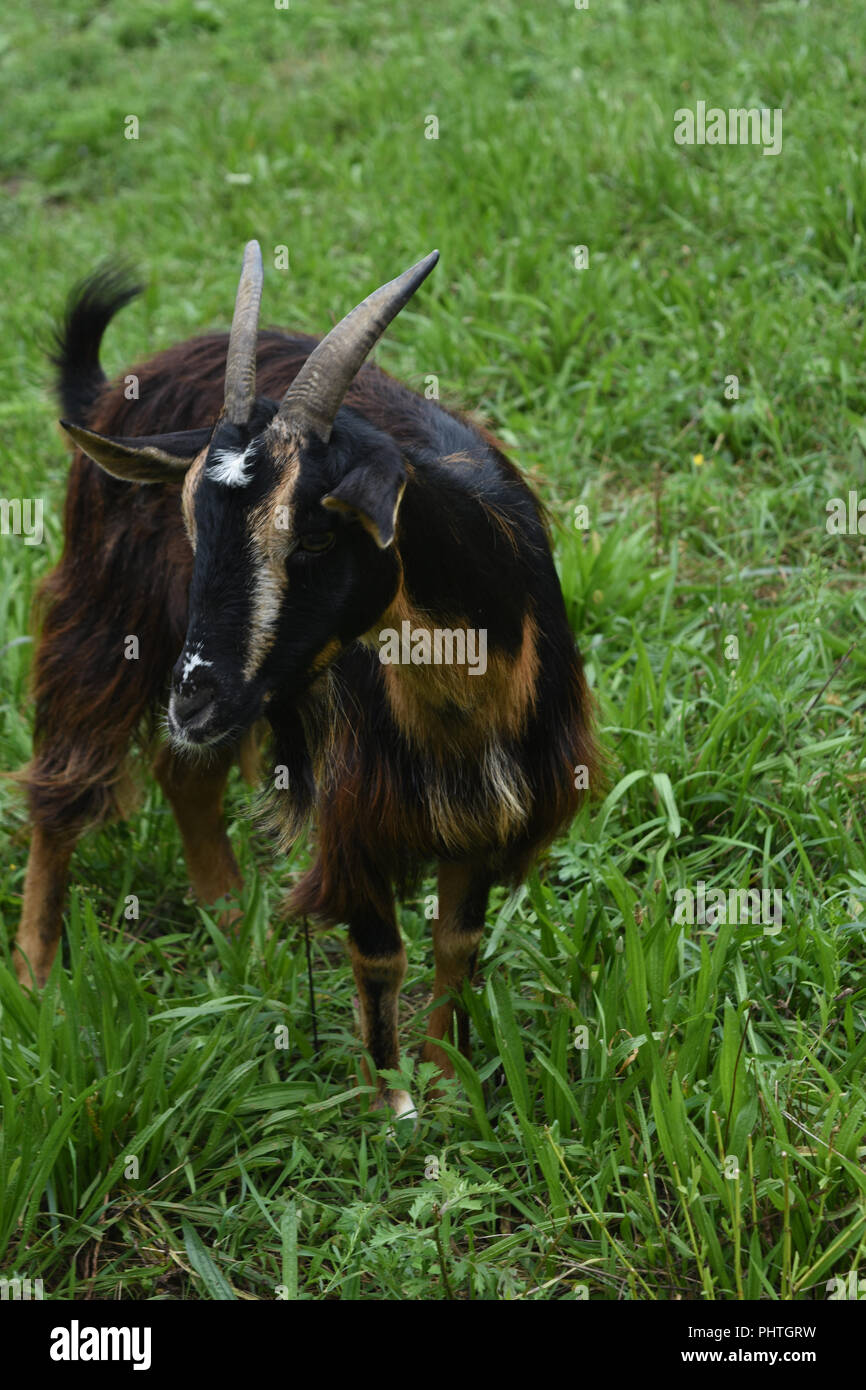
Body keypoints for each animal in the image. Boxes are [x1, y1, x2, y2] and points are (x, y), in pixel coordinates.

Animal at [14, 243, 598, 1115]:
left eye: (318, 536)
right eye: (189, 525)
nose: (195, 699)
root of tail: (134, 375)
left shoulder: (488, 805)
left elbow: (457, 942)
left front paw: (450, 1082)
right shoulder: (358, 806)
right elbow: (381, 952)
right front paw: (391, 1102)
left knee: (184, 775)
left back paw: (239, 935)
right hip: (110, 613)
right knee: (65, 779)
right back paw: (36, 976)